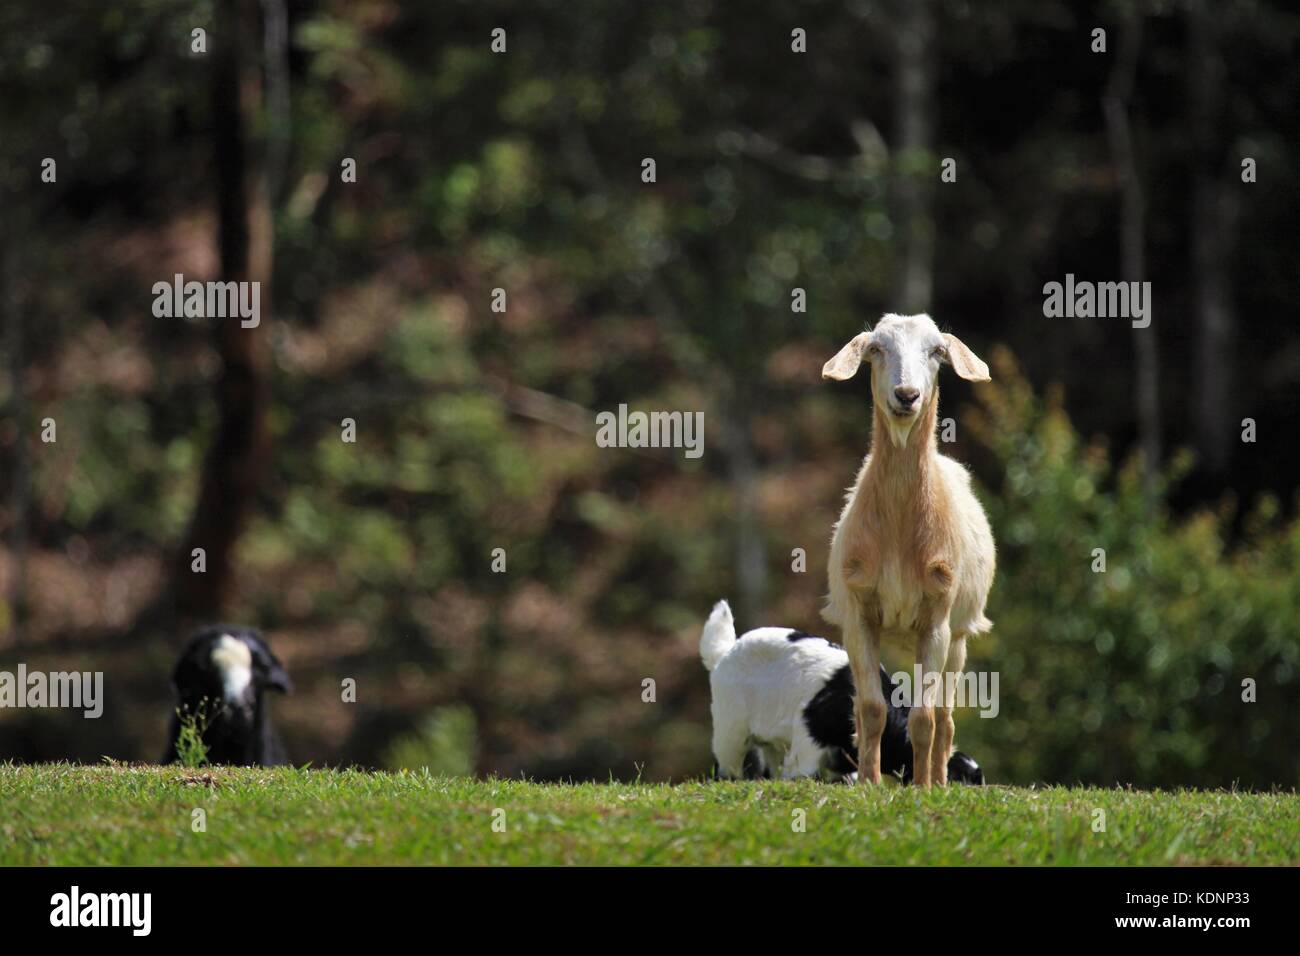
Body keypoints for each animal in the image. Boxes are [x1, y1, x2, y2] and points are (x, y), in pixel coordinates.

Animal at [700, 600, 984, 784]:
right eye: (959, 778)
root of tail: (724, 653)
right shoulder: (810, 732)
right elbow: (803, 772)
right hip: (730, 728)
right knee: (726, 764)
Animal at [821, 313, 995, 786]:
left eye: (937, 351)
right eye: (876, 349)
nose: (907, 395)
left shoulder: (936, 618)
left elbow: (924, 719)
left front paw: (921, 787)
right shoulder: (858, 613)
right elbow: (870, 709)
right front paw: (869, 782)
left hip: (959, 636)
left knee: (945, 719)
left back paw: (937, 780)